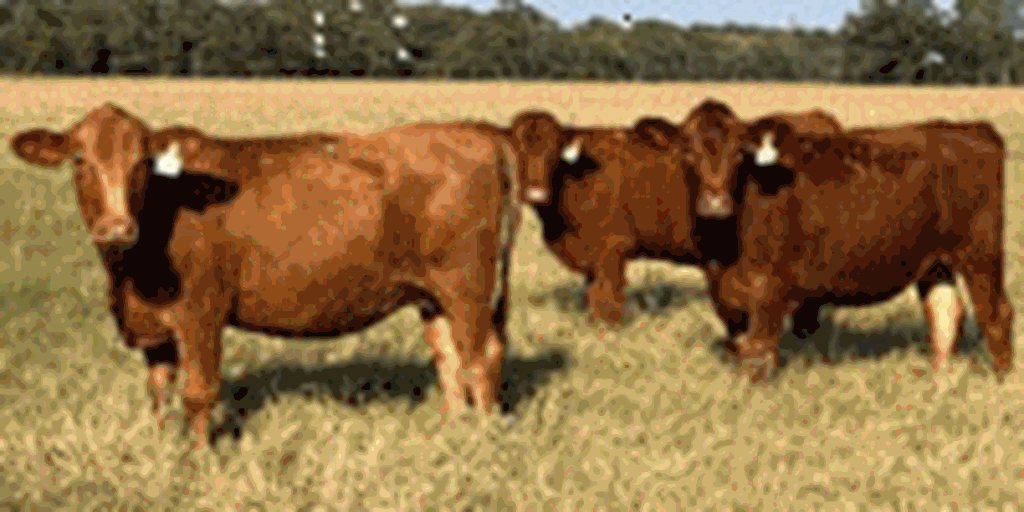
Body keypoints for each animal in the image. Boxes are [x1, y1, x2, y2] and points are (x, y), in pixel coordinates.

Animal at [10, 104, 521, 448]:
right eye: (80, 161)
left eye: (141, 165)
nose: (117, 226)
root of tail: (474, 130)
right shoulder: (153, 325)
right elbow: (158, 392)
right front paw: (157, 448)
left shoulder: (200, 312)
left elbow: (197, 392)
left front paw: (198, 461)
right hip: (431, 293)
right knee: (450, 360)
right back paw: (451, 429)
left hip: (468, 285)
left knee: (481, 357)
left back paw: (482, 438)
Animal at [706, 117, 1012, 379]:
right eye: (693, 160)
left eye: (738, 155)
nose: (715, 202)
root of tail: (971, 129)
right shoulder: (729, 297)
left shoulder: (768, 289)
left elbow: (759, 353)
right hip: (937, 263)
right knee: (945, 315)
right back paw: (939, 381)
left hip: (980, 255)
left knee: (995, 314)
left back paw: (1000, 378)